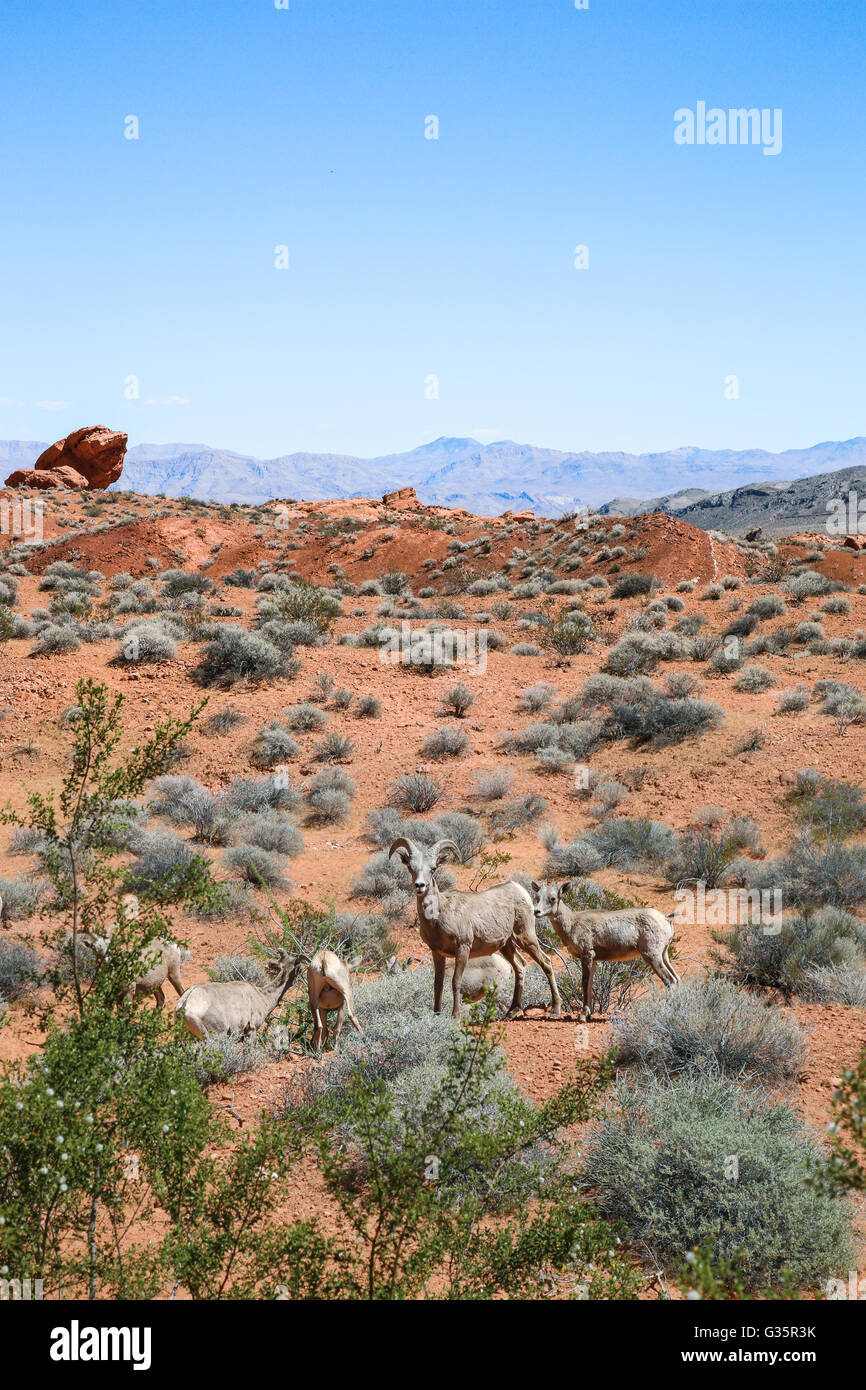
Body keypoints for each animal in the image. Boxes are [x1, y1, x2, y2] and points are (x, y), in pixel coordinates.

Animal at [389, 837, 561, 1020]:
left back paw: (555, 1010)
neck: (439, 914)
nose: (419, 886)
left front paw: (455, 1016)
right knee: (520, 966)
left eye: (433, 868)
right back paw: (512, 1011)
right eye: (410, 867)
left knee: (546, 963)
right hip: (506, 945)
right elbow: (438, 983)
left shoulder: (463, 948)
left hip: (525, 937)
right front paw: (436, 1014)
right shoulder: (437, 952)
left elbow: (456, 981)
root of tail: (519, 889)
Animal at [530, 879, 679, 1019]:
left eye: (553, 898)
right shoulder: (594, 960)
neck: (572, 924)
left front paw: (583, 1016)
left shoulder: (587, 955)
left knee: (670, 981)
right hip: (663, 955)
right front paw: (588, 1014)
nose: (536, 911)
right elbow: (590, 984)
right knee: (676, 979)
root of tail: (666, 918)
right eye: (537, 897)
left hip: (652, 956)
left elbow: (585, 983)